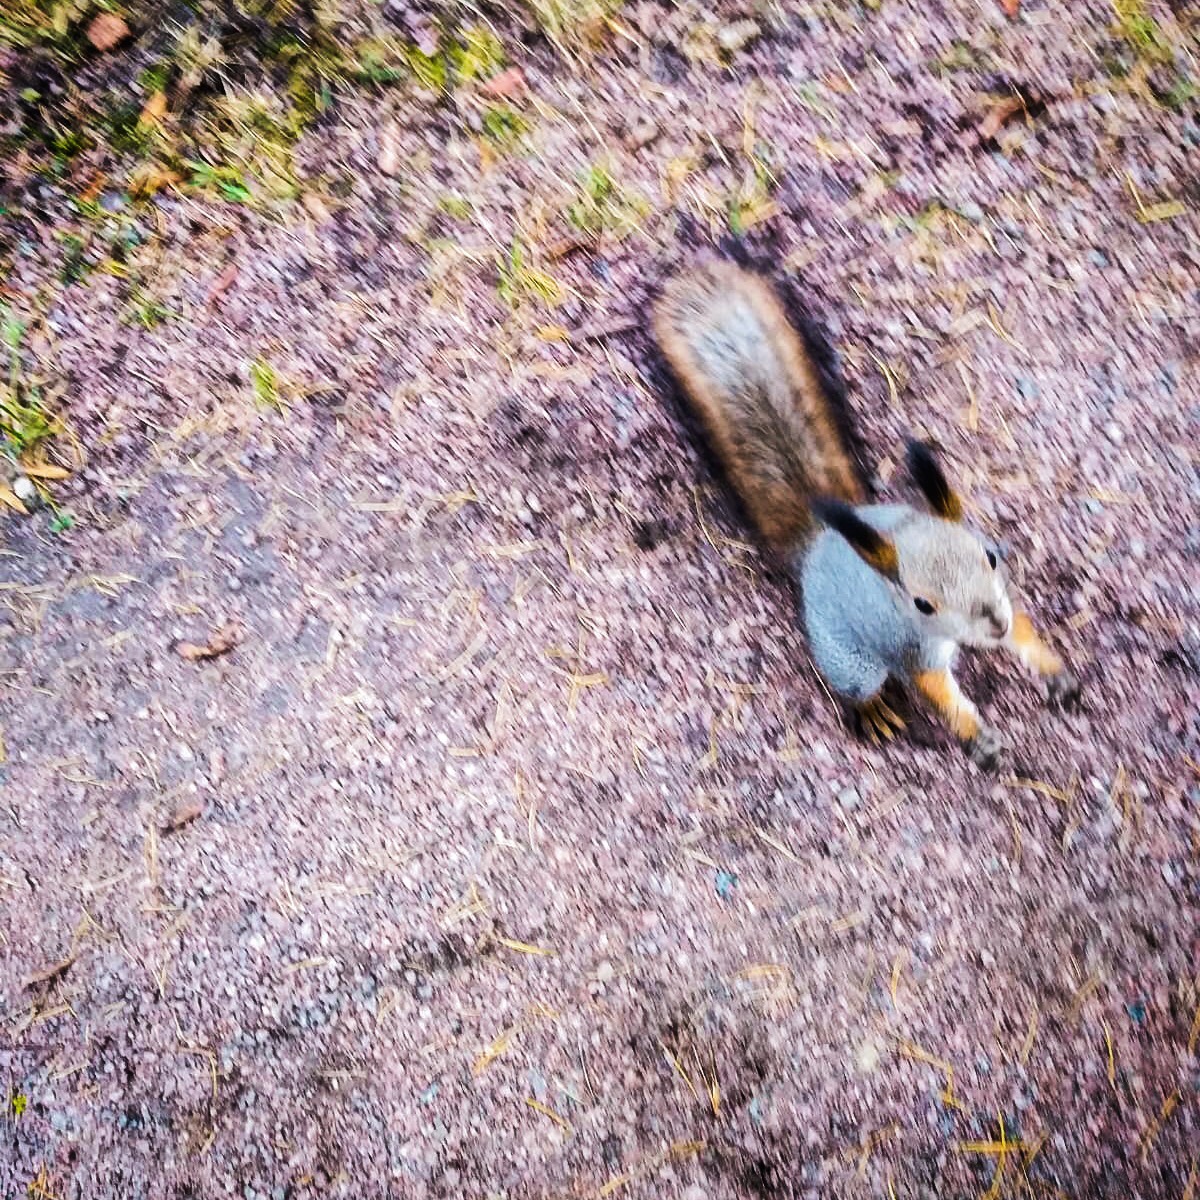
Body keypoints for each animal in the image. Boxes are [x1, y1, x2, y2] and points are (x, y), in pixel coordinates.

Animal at [652, 258, 1084, 772]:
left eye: (991, 555)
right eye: (921, 603)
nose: (992, 623)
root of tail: (821, 542)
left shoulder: (1003, 597)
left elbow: (1022, 631)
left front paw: (1053, 671)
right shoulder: (913, 651)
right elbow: (941, 695)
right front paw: (979, 739)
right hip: (850, 660)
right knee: (855, 686)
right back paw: (872, 710)